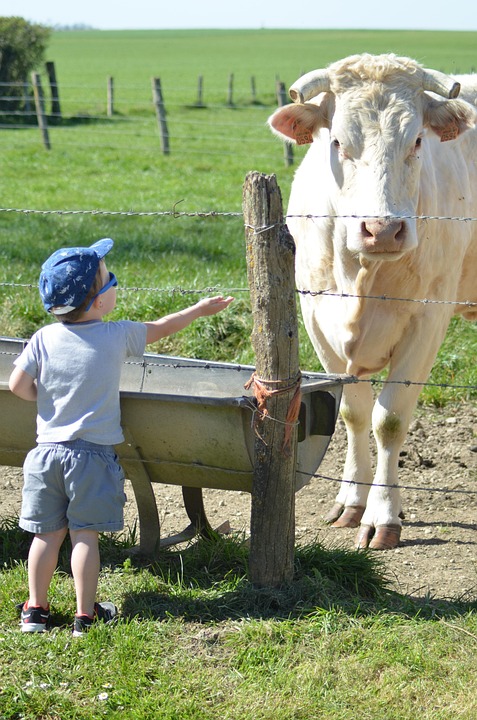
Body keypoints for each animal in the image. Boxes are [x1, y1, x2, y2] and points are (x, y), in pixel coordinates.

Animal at [268, 54, 477, 549]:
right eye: (338, 141)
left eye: (417, 139)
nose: (382, 230)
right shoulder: (315, 318)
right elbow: (354, 411)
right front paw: (351, 501)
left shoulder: (428, 321)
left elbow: (390, 419)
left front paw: (382, 515)